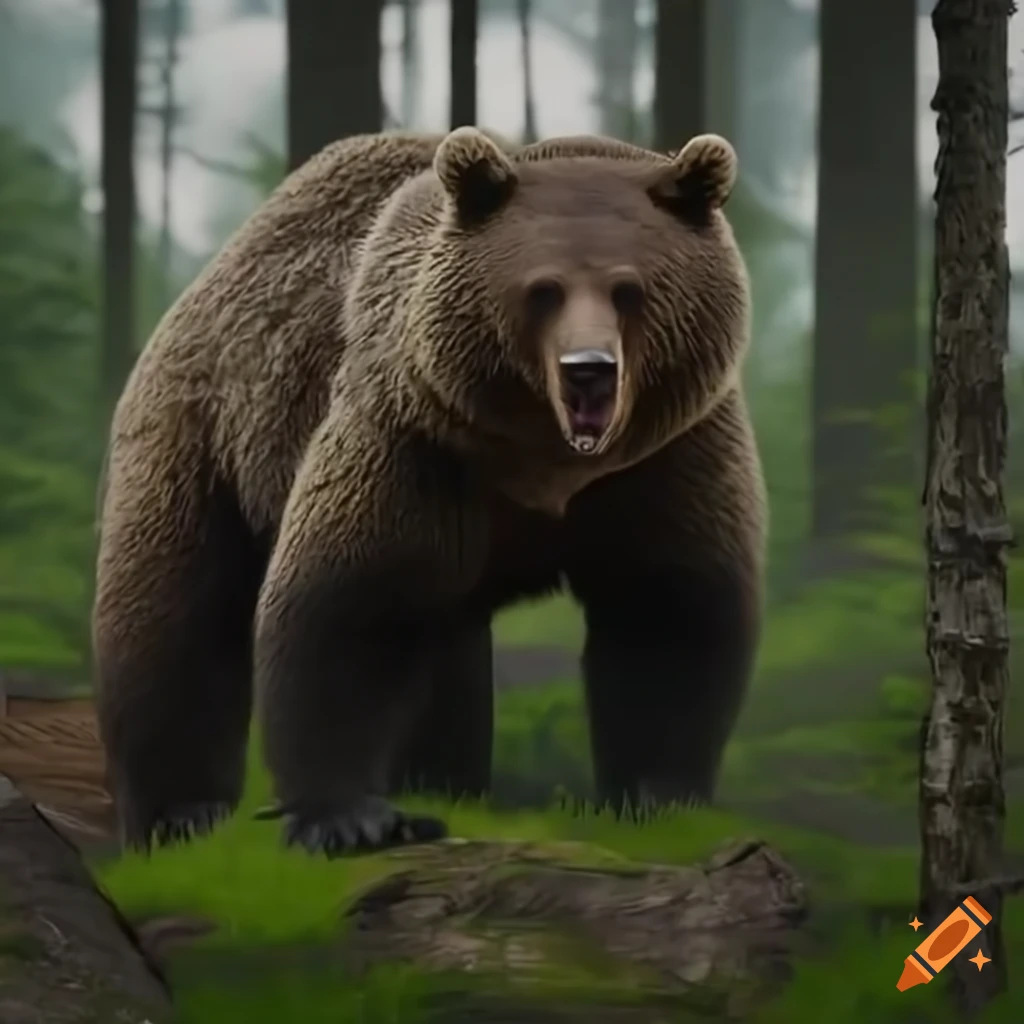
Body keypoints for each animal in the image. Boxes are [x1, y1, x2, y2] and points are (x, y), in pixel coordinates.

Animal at [92, 126, 765, 855]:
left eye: (629, 289)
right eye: (544, 289)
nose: (588, 370)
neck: (548, 463)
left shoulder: (666, 458)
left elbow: (665, 613)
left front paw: (658, 799)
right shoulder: (413, 438)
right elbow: (344, 607)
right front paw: (349, 816)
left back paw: (440, 786)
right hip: (204, 438)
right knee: (170, 617)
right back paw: (181, 813)